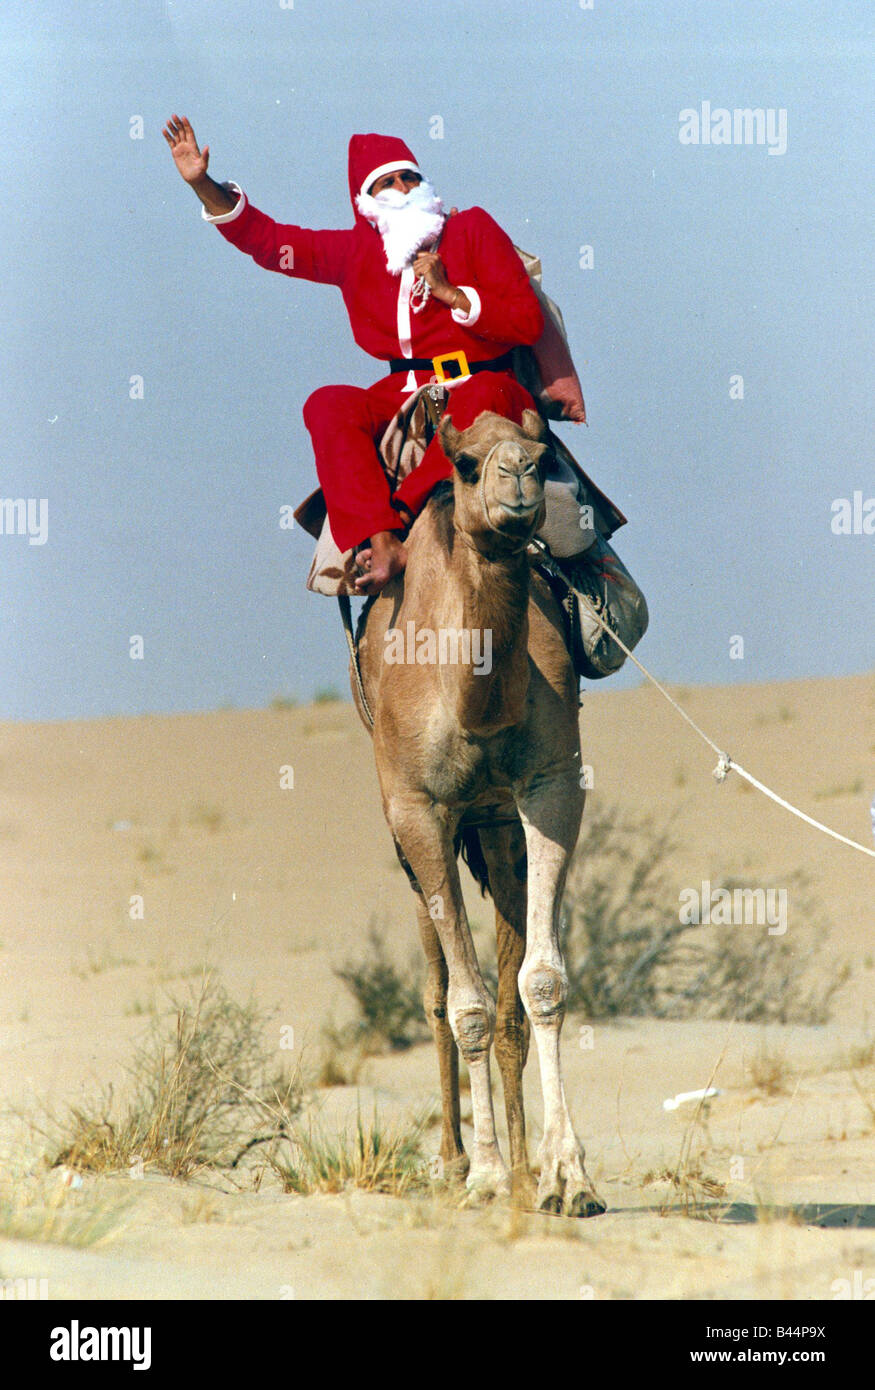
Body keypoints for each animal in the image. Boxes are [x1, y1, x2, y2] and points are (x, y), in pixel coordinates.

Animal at [351, 406, 605, 1217]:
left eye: (541, 452)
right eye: (462, 463)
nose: (516, 477)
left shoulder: (549, 784)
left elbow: (538, 982)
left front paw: (564, 1176)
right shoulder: (417, 810)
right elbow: (462, 1005)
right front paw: (486, 1175)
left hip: (494, 827)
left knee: (507, 992)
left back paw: (523, 1165)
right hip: (408, 838)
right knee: (436, 995)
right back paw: (455, 1162)